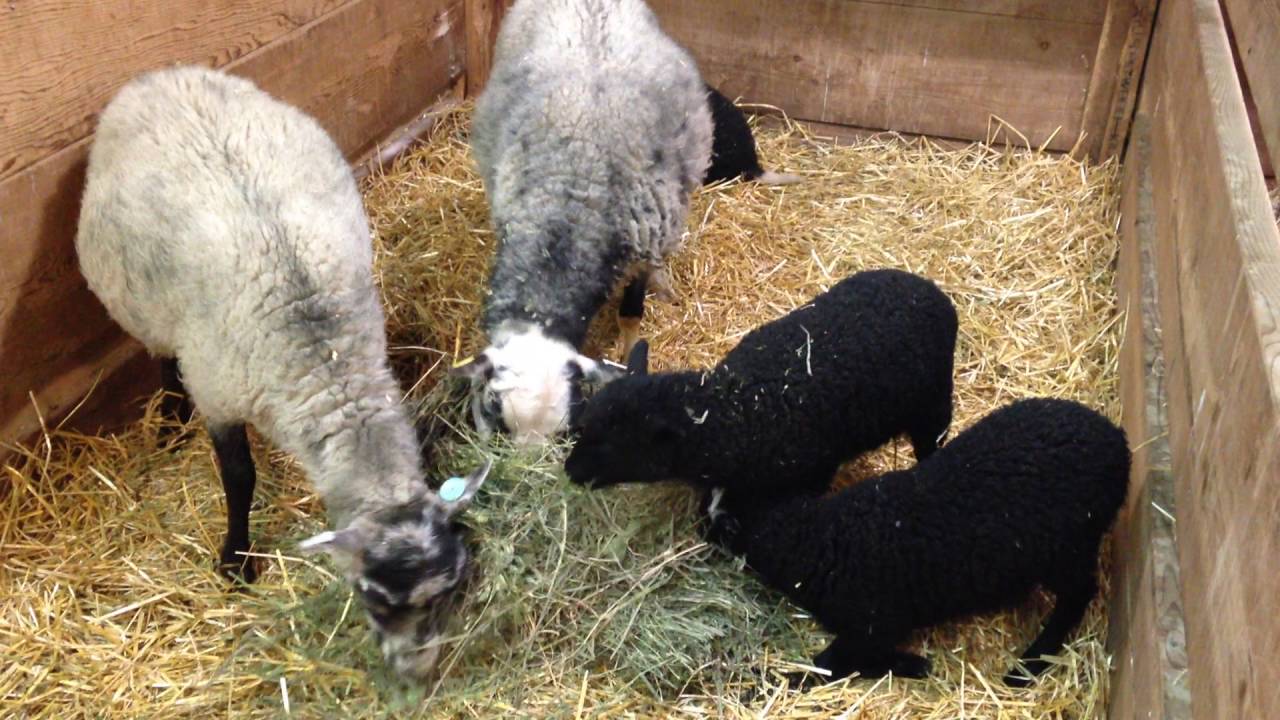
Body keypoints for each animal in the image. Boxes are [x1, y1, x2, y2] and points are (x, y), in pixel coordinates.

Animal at [76, 65, 489, 680]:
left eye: (451, 586)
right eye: (371, 595)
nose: (414, 673)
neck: (324, 359)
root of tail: (163, 75)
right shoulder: (218, 393)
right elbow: (239, 476)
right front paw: (235, 559)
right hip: (135, 299)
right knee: (161, 355)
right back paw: (170, 418)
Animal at [564, 269, 958, 503]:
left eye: (615, 444)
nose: (570, 471)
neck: (734, 408)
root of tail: (928, 289)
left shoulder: (815, 471)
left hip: (933, 406)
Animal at [704, 398, 1131, 687]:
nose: (702, 527)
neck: (824, 538)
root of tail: (1119, 445)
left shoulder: (873, 625)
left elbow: (825, 665)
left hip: (1068, 549)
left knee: (1079, 595)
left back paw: (1029, 665)